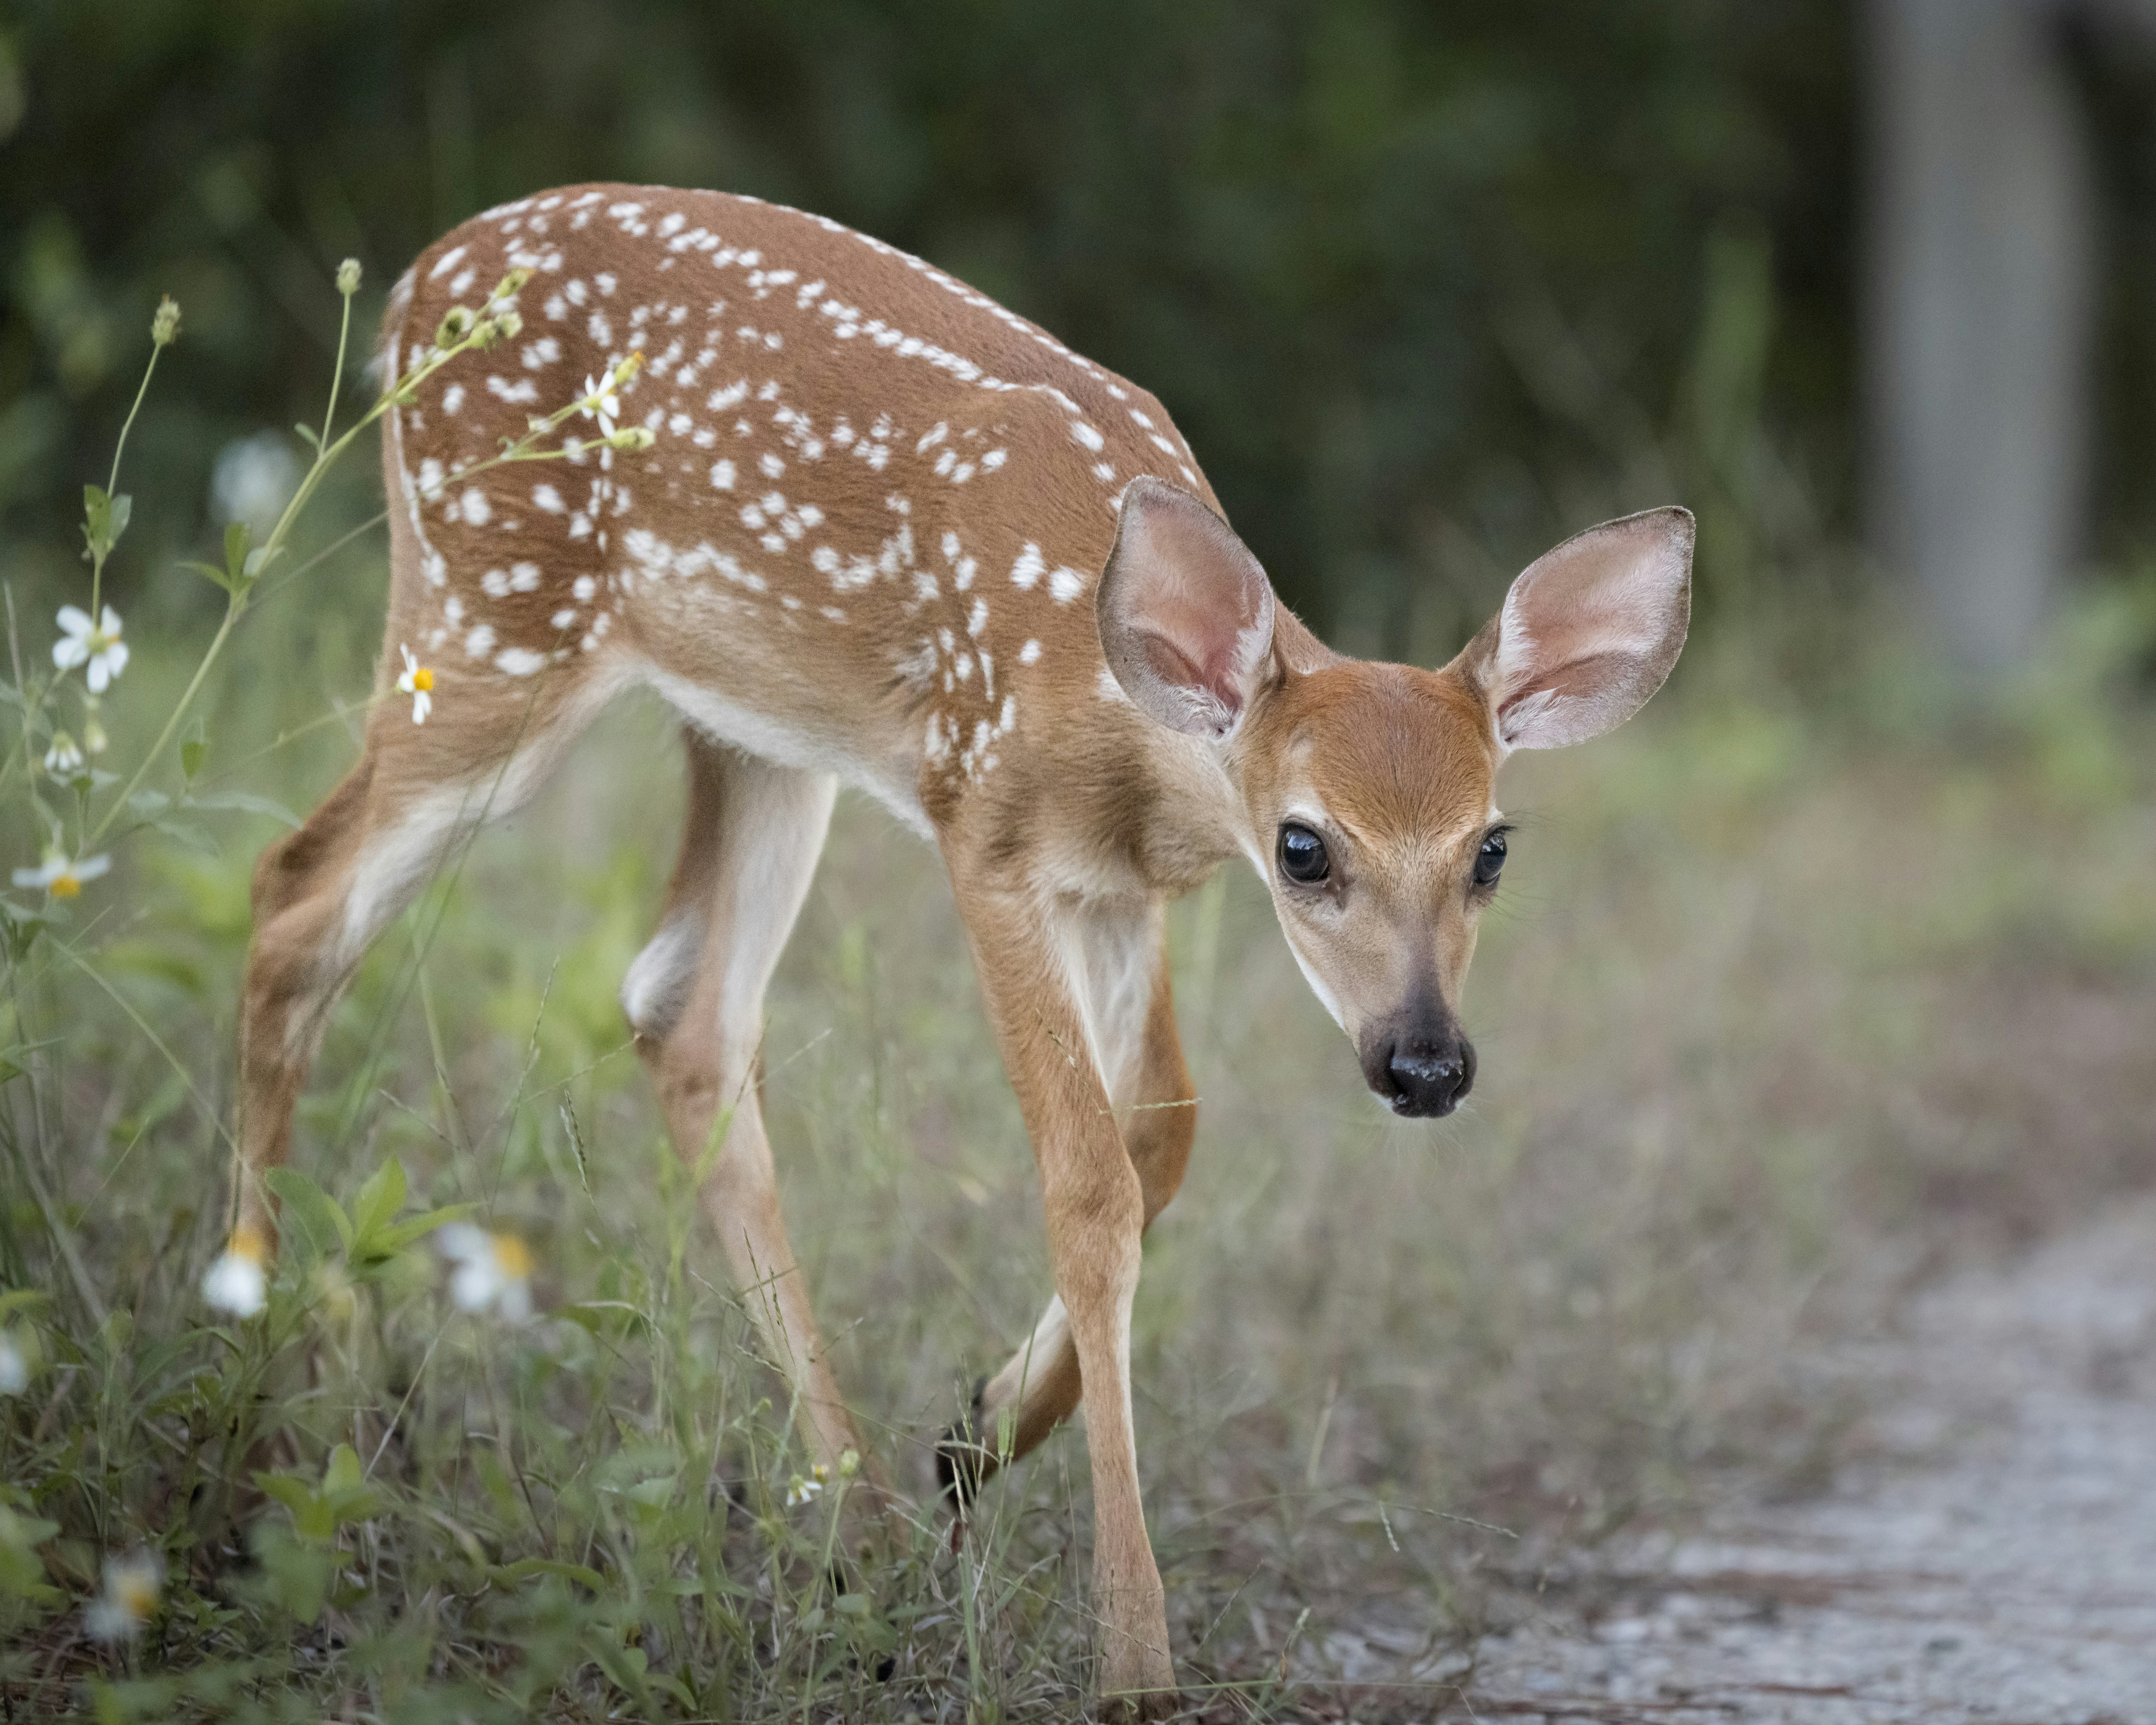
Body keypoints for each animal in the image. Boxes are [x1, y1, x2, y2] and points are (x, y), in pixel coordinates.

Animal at [231, 182, 1691, 1718]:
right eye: (1303, 847)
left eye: (1491, 849)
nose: (1424, 1064)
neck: (1118, 722)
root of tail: (413, 284)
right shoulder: (980, 828)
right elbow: (1089, 1184)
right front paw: (1133, 1653)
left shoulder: (1116, 891)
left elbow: (1163, 1133)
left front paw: (978, 1434)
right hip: (492, 614)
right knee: (292, 900)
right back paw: (258, 1425)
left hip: (754, 731)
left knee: (686, 1016)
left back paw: (860, 1529)